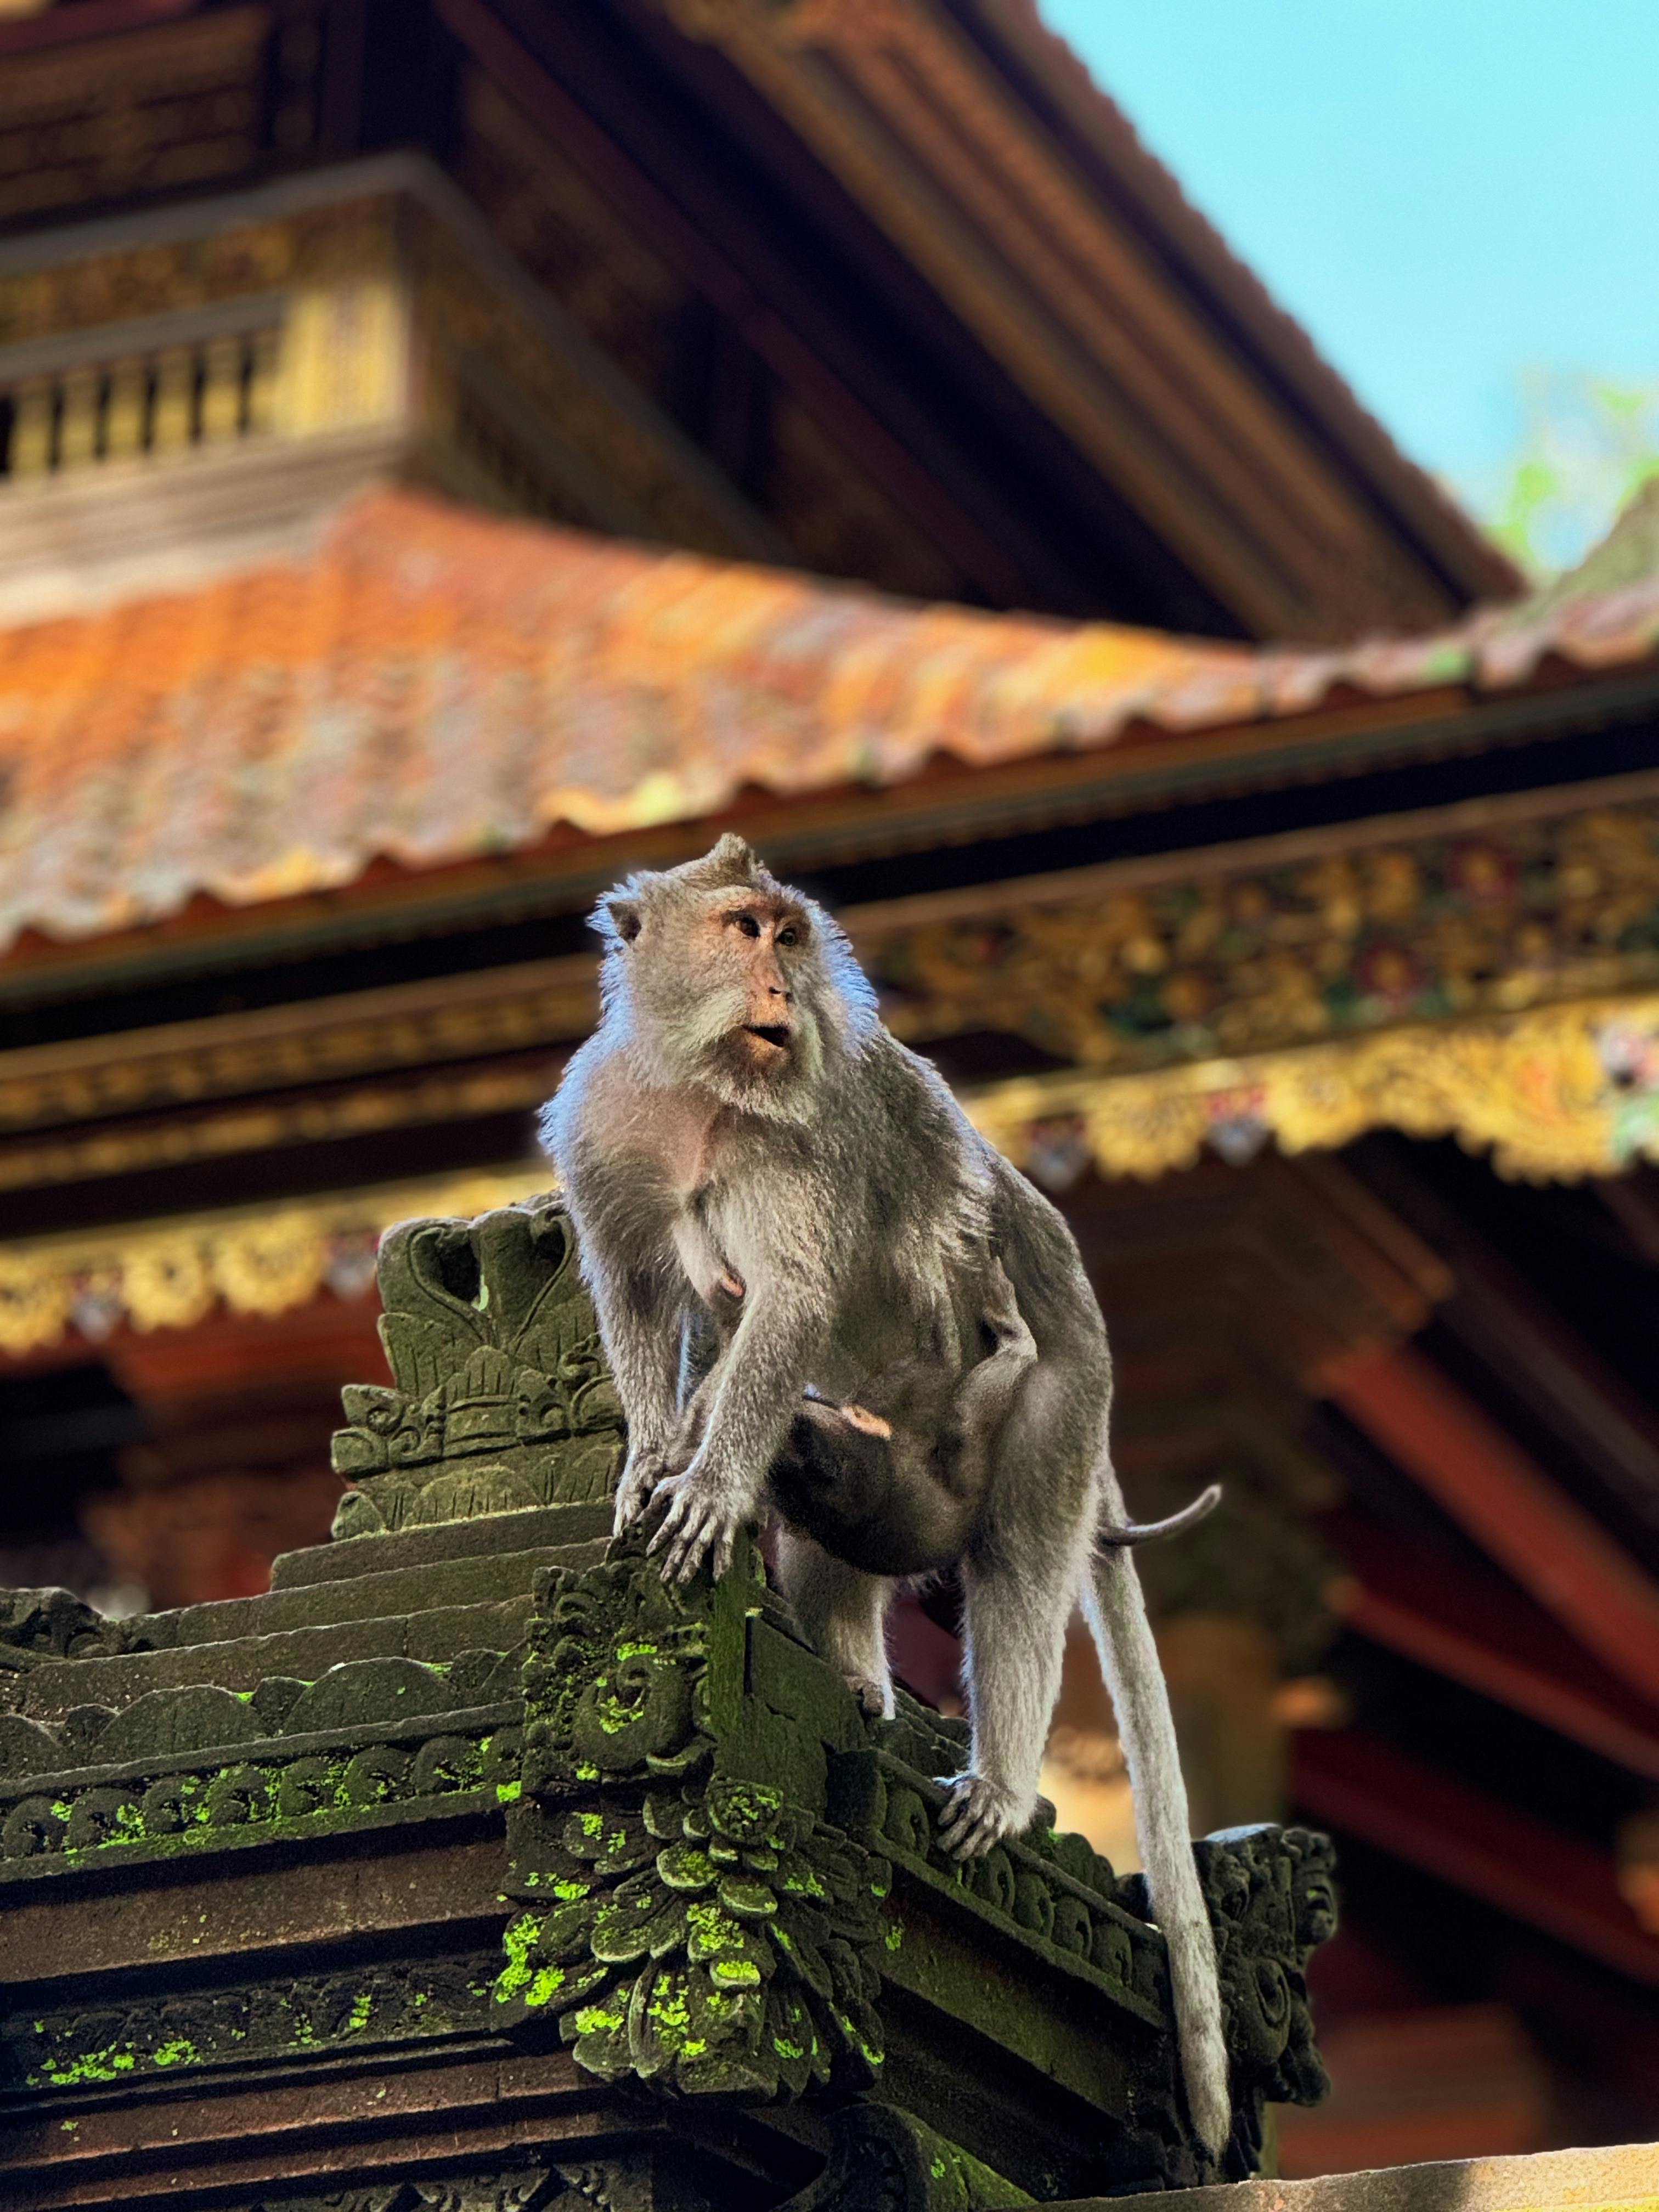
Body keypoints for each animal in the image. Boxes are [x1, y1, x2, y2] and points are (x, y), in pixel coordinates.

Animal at [540, 833, 1231, 2158]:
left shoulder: (798, 1153)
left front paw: (704, 1486)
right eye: (744, 928)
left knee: (1017, 1556)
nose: (780, 988)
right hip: (874, 1430)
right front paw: (655, 1457)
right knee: (826, 1485)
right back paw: (856, 1677)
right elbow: (649, 1291)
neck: (704, 1091)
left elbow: (787, 1298)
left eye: (789, 934)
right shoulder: (609, 1125)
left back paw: (999, 1781)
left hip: (1064, 1389)